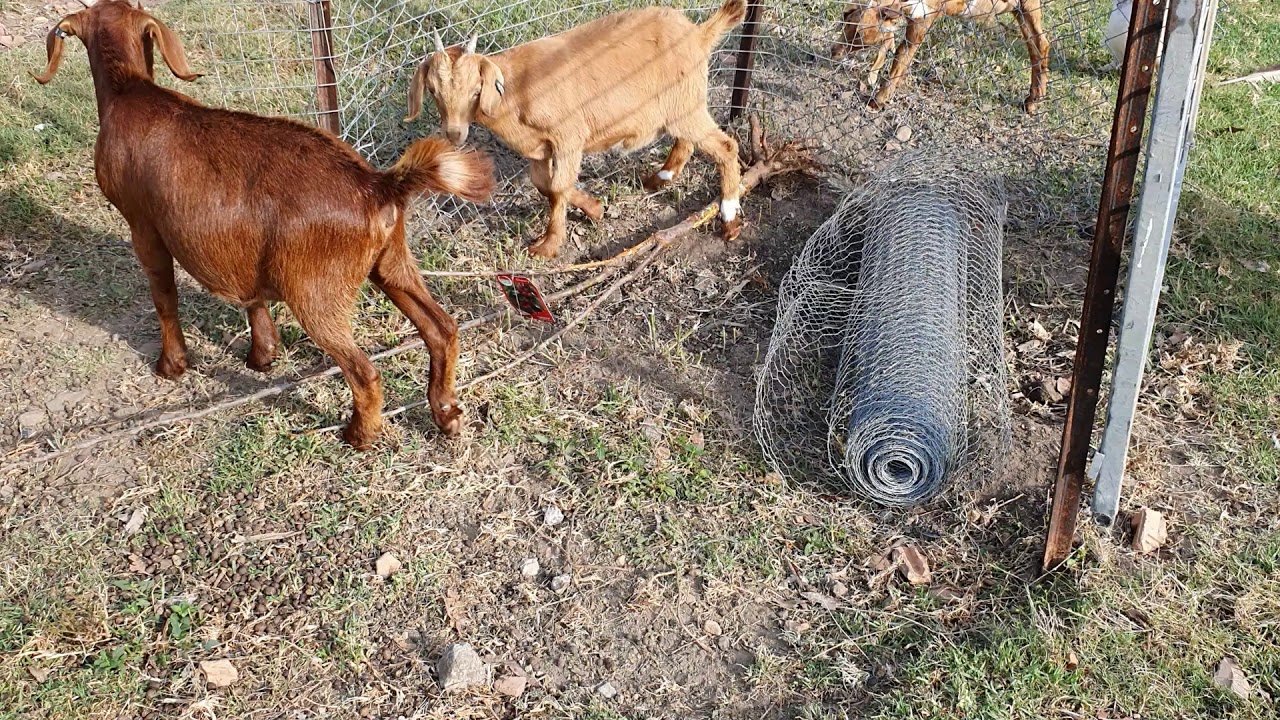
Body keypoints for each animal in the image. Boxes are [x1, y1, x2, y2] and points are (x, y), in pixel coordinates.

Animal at [33, 0, 495, 450]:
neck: (130, 92)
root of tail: (378, 186)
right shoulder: (240, 247)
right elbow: (252, 295)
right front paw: (263, 356)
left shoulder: (143, 225)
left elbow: (164, 296)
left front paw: (172, 365)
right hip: (392, 261)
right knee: (442, 329)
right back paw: (447, 414)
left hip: (316, 290)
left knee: (365, 371)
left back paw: (359, 436)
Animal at [405, 0, 748, 259]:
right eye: (432, 90)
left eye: (476, 90)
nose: (454, 134)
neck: (515, 91)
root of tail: (698, 34)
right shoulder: (539, 148)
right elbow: (544, 184)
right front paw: (594, 209)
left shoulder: (568, 134)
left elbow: (558, 186)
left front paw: (548, 246)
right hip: (680, 106)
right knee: (689, 141)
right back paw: (661, 177)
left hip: (685, 104)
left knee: (726, 145)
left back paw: (730, 216)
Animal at [832, 0, 1050, 114]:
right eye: (846, 17)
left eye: (859, 35)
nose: (834, 52)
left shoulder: (925, 13)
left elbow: (903, 54)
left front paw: (877, 101)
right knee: (1038, 43)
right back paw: (1032, 101)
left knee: (1040, 43)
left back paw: (1033, 101)